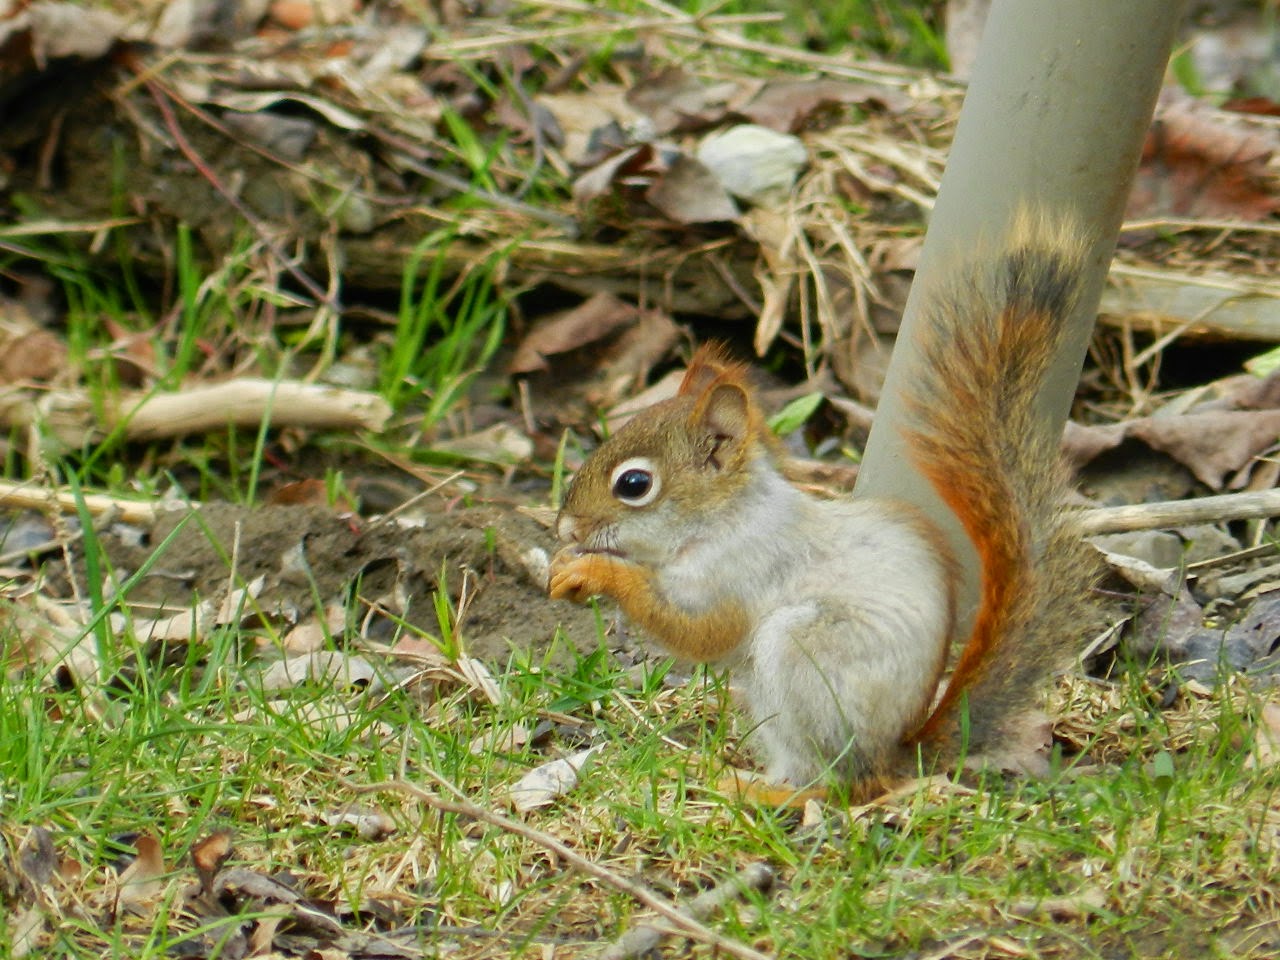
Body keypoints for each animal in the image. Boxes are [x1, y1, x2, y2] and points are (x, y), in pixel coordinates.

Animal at [547, 219, 1097, 802]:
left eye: (634, 484)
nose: (565, 527)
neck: (722, 518)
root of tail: (894, 758)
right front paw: (563, 566)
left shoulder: (740, 569)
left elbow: (701, 633)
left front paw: (595, 571)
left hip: (804, 657)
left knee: (826, 785)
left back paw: (751, 789)